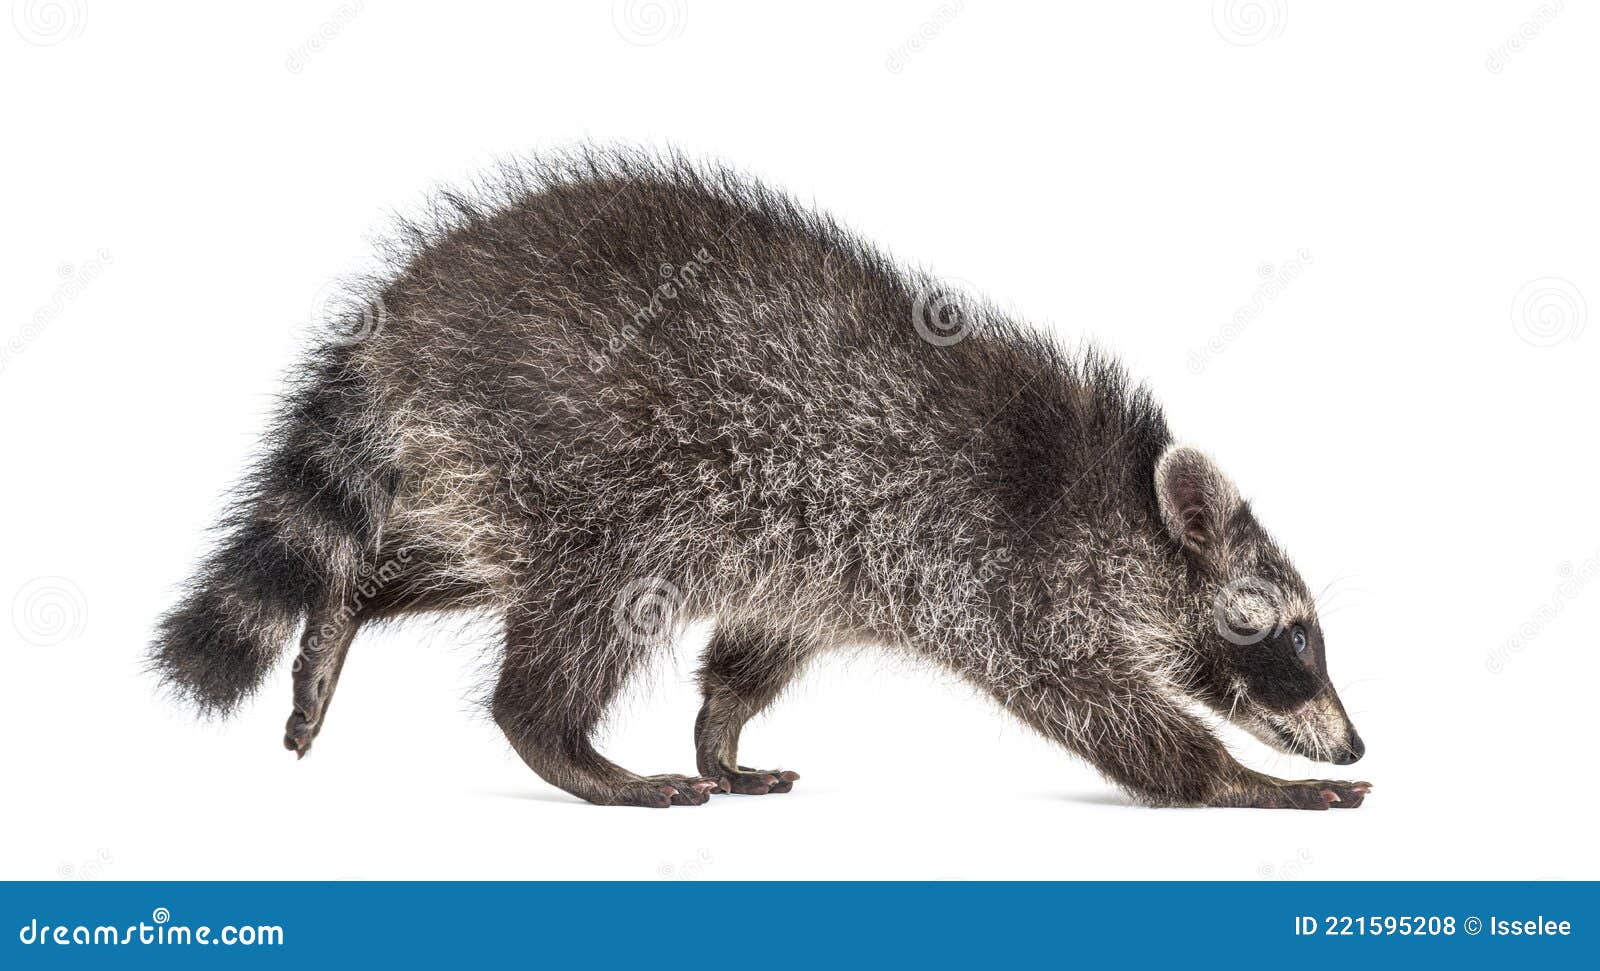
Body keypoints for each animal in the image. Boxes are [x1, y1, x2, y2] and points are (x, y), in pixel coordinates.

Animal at [151, 148, 1369, 809]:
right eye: (1293, 637)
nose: (1356, 738)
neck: (1117, 509)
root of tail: (409, 311)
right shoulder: (1011, 580)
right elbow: (1110, 714)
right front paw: (1243, 779)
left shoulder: (828, 570)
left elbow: (752, 650)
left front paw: (720, 729)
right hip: (590, 453)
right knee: (586, 603)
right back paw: (558, 738)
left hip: (489, 472)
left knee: (445, 559)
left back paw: (346, 599)